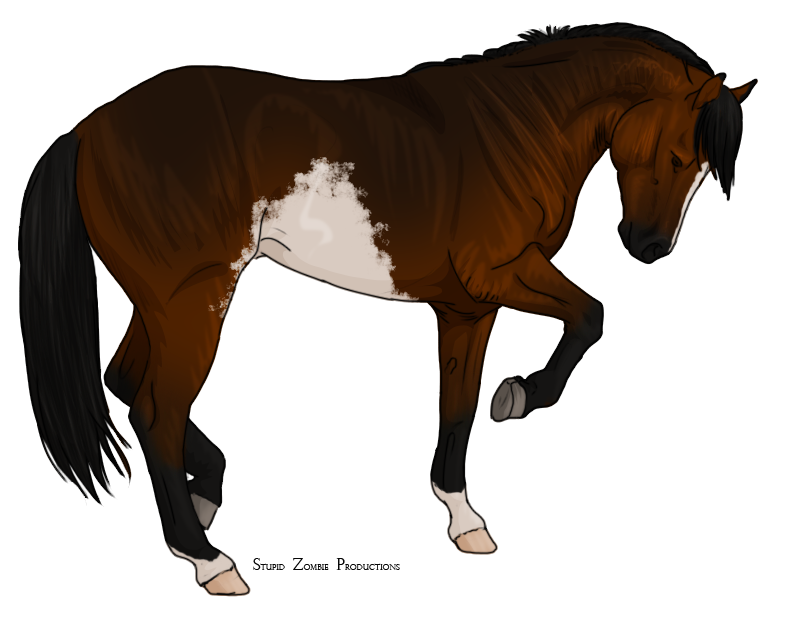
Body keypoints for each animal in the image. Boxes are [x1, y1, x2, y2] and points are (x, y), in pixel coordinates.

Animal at [19, 24, 756, 595]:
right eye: (678, 156)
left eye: (703, 170)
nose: (650, 249)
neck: (517, 128)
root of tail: (86, 131)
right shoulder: (503, 274)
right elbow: (590, 315)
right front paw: (519, 397)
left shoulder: (468, 308)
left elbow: (458, 406)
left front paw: (465, 521)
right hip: (192, 301)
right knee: (155, 410)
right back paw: (208, 561)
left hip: (163, 303)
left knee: (125, 383)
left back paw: (204, 500)